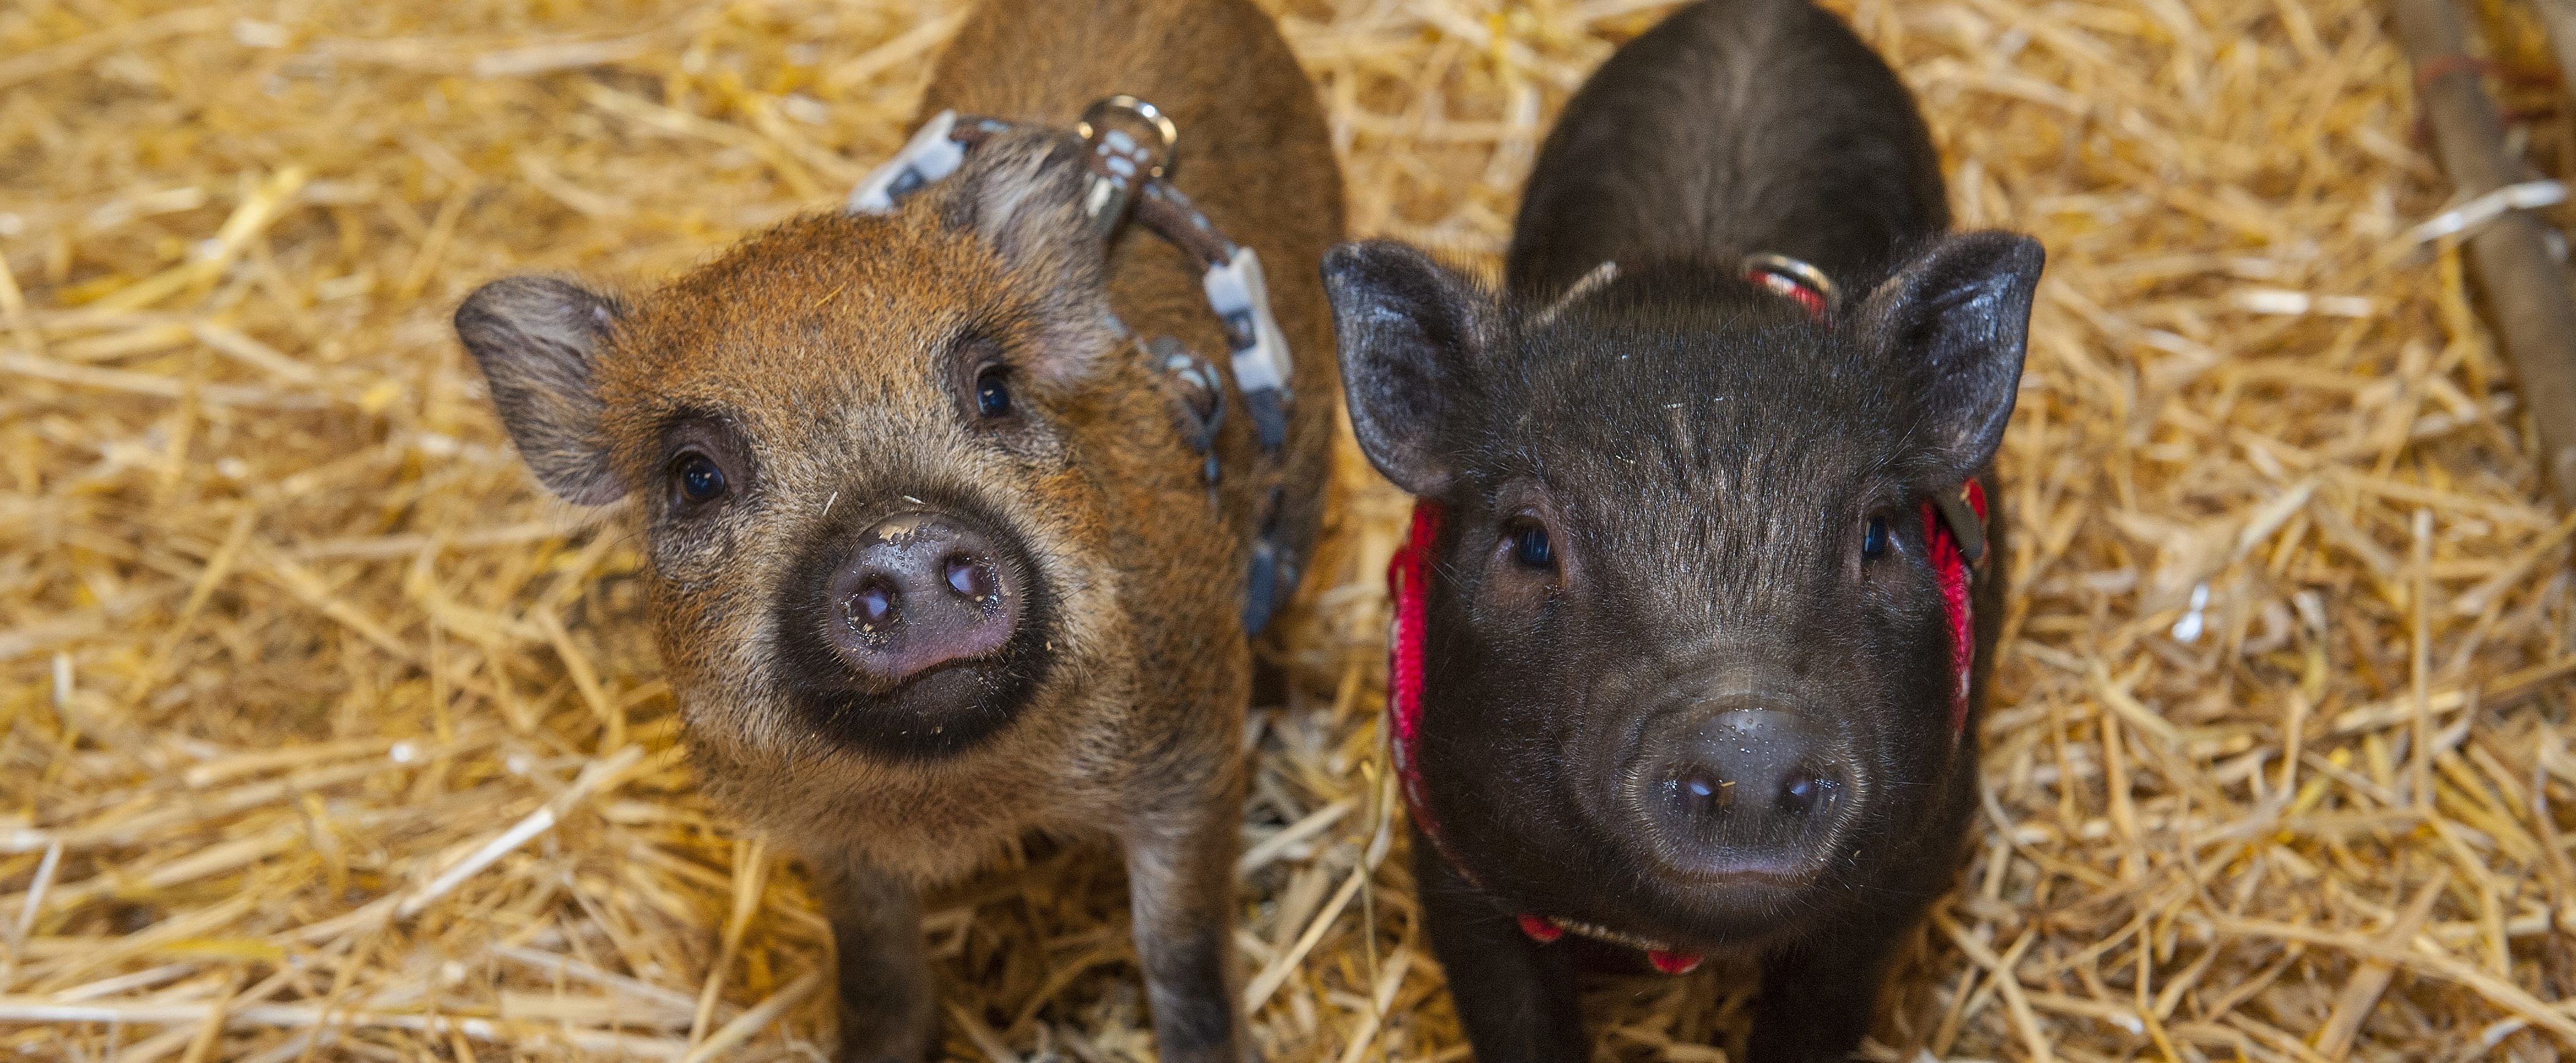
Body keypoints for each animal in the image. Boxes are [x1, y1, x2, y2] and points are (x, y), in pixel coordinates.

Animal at [450, 1, 1343, 1060]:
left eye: (993, 389)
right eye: (695, 475)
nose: (904, 538)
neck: (955, 792)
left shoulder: (1190, 743)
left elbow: (1184, 957)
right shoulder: (831, 838)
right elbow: (879, 976)